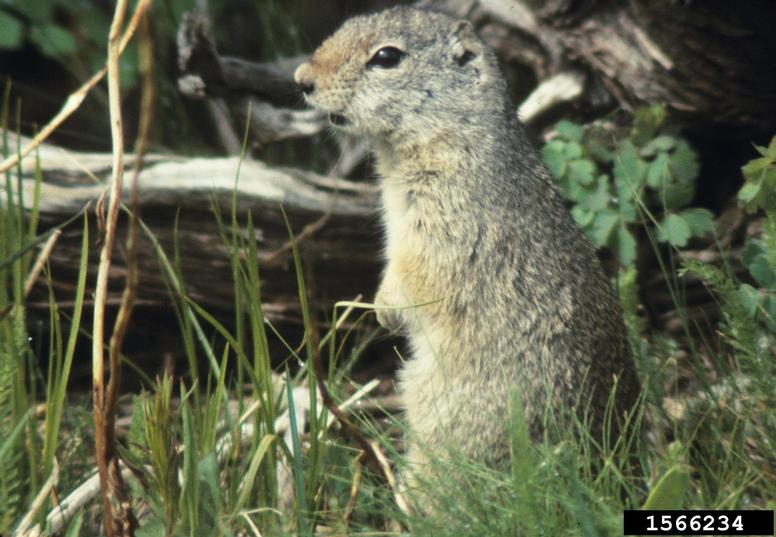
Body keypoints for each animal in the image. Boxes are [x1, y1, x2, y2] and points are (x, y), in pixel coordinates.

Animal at [295, 7, 640, 482]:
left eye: (387, 56)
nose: (301, 79)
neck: (452, 135)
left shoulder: (442, 225)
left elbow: (418, 273)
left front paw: (385, 311)